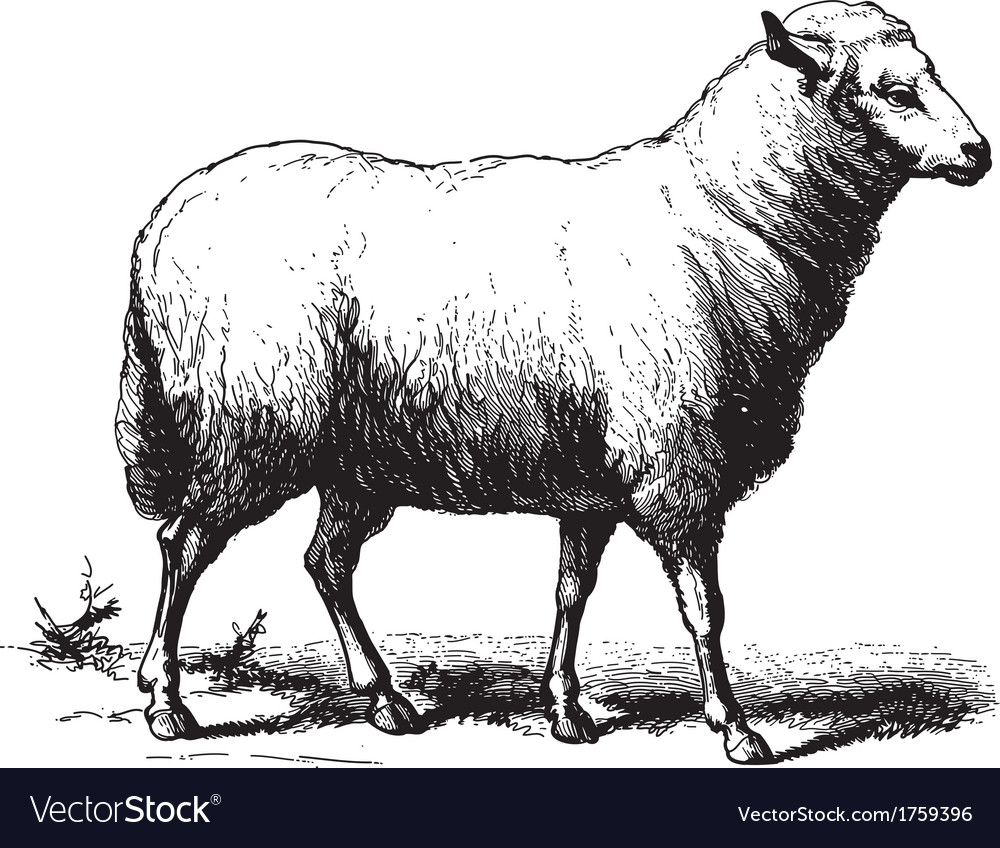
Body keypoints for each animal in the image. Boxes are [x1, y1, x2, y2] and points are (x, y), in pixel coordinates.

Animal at [116, 1, 989, 763]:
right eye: (896, 92)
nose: (979, 154)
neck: (732, 220)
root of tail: (156, 230)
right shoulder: (678, 472)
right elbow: (705, 611)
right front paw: (736, 729)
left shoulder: (592, 484)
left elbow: (573, 590)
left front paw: (566, 709)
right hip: (252, 430)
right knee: (184, 544)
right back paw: (166, 701)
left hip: (355, 459)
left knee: (325, 561)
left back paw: (385, 698)